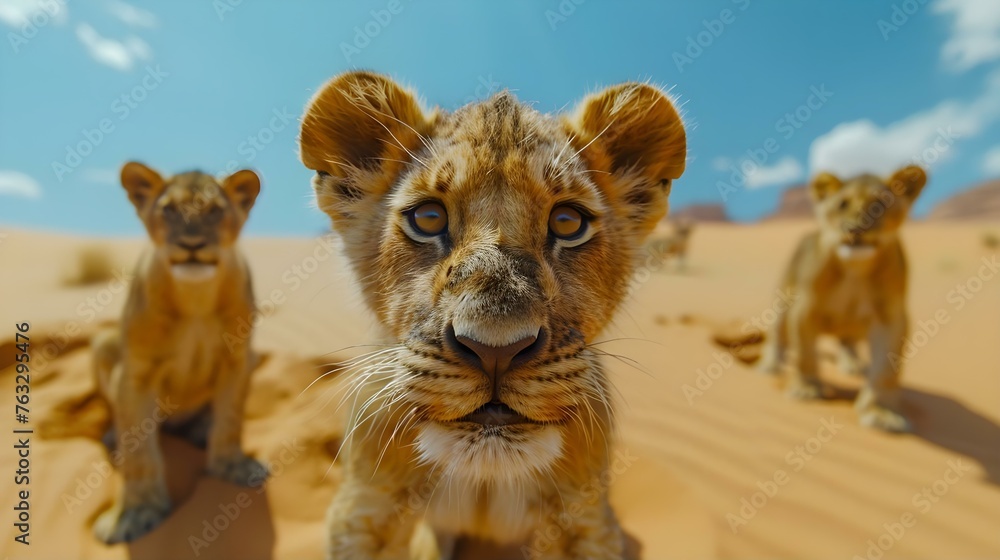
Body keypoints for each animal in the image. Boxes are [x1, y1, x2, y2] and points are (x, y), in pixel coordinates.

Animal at [91, 162, 268, 543]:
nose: (192, 244)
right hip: (103, 343)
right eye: (168, 210)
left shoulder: (238, 360)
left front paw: (232, 466)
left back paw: (201, 428)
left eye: (215, 211)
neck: (195, 298)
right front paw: (135, 514)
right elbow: (139, 455)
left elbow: (230, 420)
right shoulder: (135, 373)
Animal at [757, 165, 927, 432]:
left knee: (847, 341)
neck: (856, 267)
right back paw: (770, 364)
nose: (856, 229)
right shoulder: (804, 309)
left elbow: (886, 371)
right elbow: (805, 353)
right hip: (783, 299)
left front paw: (881, 412)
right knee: (778, 334)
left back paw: (852, 364)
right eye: (842, 204)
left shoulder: (891, 319)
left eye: (879, 203)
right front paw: (805, 388)